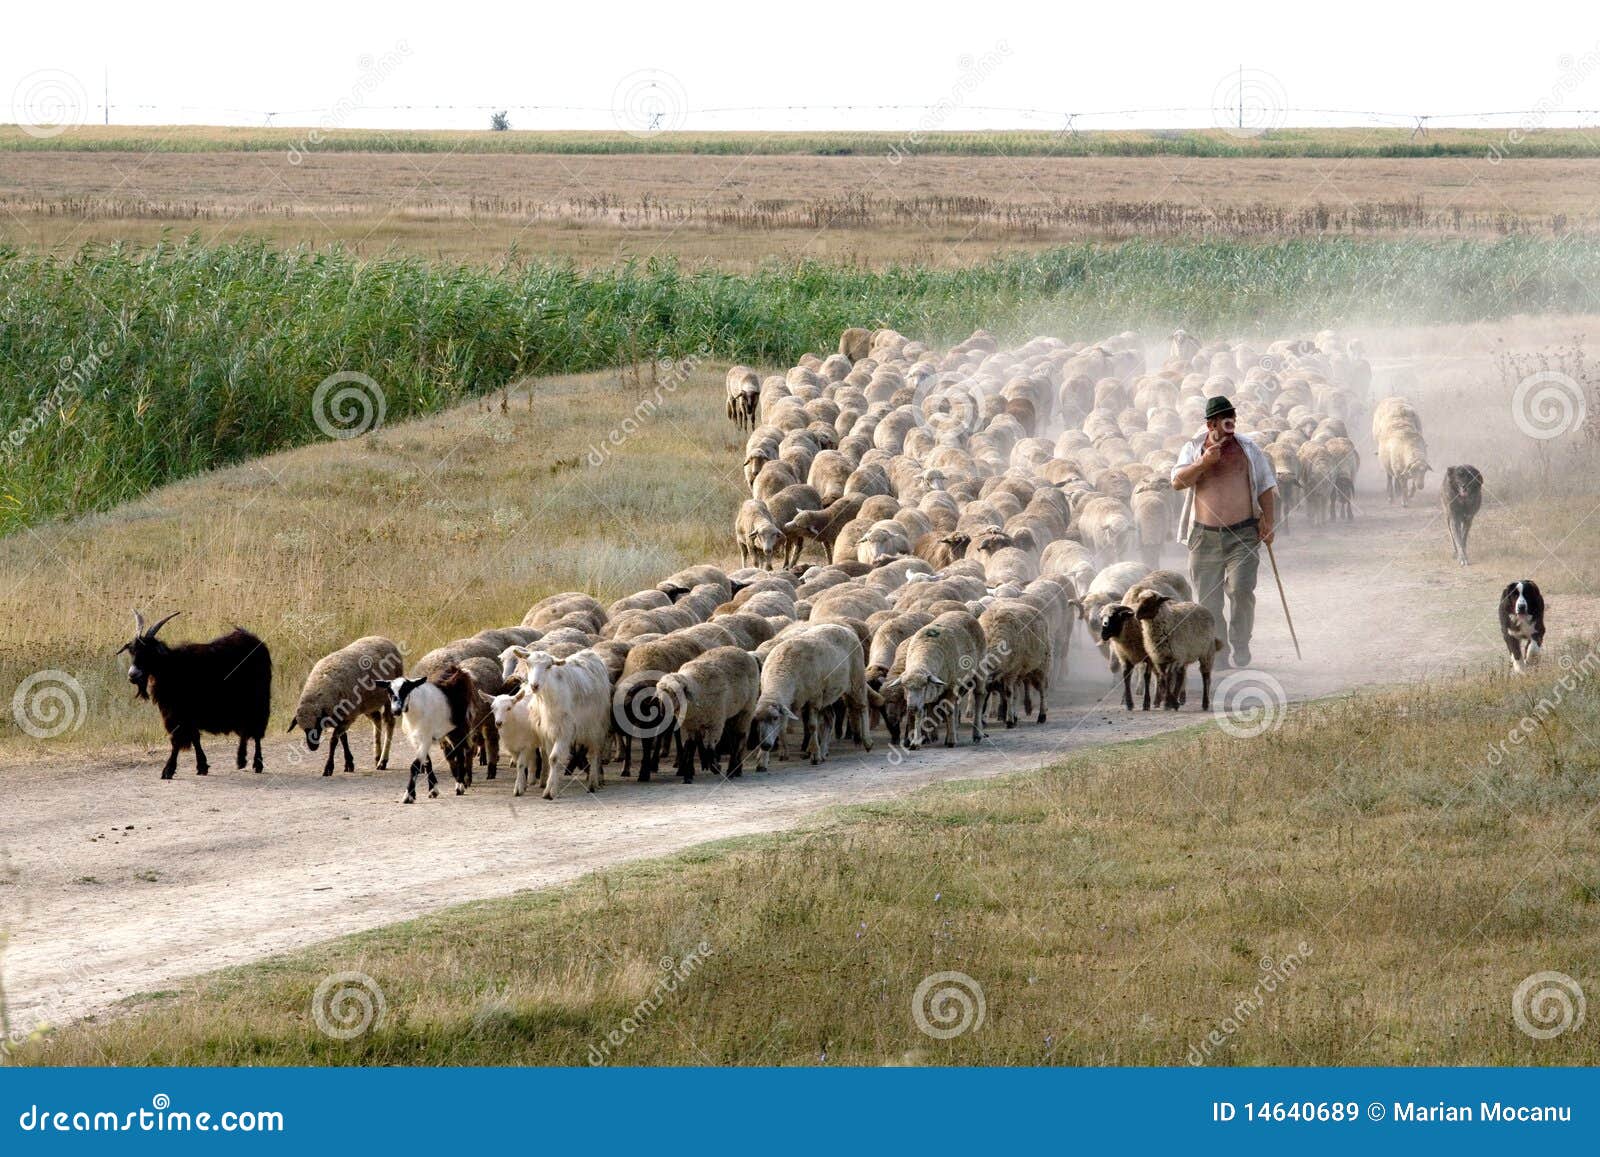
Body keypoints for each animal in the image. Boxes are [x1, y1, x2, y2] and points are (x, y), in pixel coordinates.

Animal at [118, 611, 272, 779]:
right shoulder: (180, 714)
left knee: (256, 731)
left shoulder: (182, 713)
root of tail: (256, 641)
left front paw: (168, 770)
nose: (132, 675)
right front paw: (201, 766)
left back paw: (257, 763)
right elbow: (194, 738)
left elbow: (177, 741)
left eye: (148, 652)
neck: (171, 667)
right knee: (245, 730)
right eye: (132, 651)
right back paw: (241, 760)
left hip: (259, 700)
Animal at [288, 635, 404, 776]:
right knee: (377, 719)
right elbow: (343, 738)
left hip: (389, 697)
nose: (313, 747)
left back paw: (383, 761)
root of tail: (383, 638)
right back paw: (377, 757)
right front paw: (349, 763)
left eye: (317, 725)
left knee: (389, 722)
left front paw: (329, 767)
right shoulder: (342, 715)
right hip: (367, 703)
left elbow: (334, 741)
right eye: (304, 729)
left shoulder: (347, 716)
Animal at [522, 648, 613, 799]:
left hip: (595, 726)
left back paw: (593, 783)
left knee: (594, 753)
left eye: (548, 666)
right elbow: (550, 757)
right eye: (528, 664)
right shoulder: (547, 732)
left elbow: (554, 758)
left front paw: (550, 792)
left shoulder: (565, 731)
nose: (534, 686)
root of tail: (589, 652)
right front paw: (552, 788)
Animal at [655, 646, 761, 780]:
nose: (663, 710)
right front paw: (688, 776)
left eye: (675, 694)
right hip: (732, 712)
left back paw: (731, 770)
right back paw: (737, 769)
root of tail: (748, 653)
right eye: (659, 695)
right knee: (733, 738)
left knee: (739, 738)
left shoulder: (716, 723)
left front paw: (715, 767)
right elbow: (691, 746)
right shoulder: (691, 725)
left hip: (746, 709)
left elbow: (710, 748)